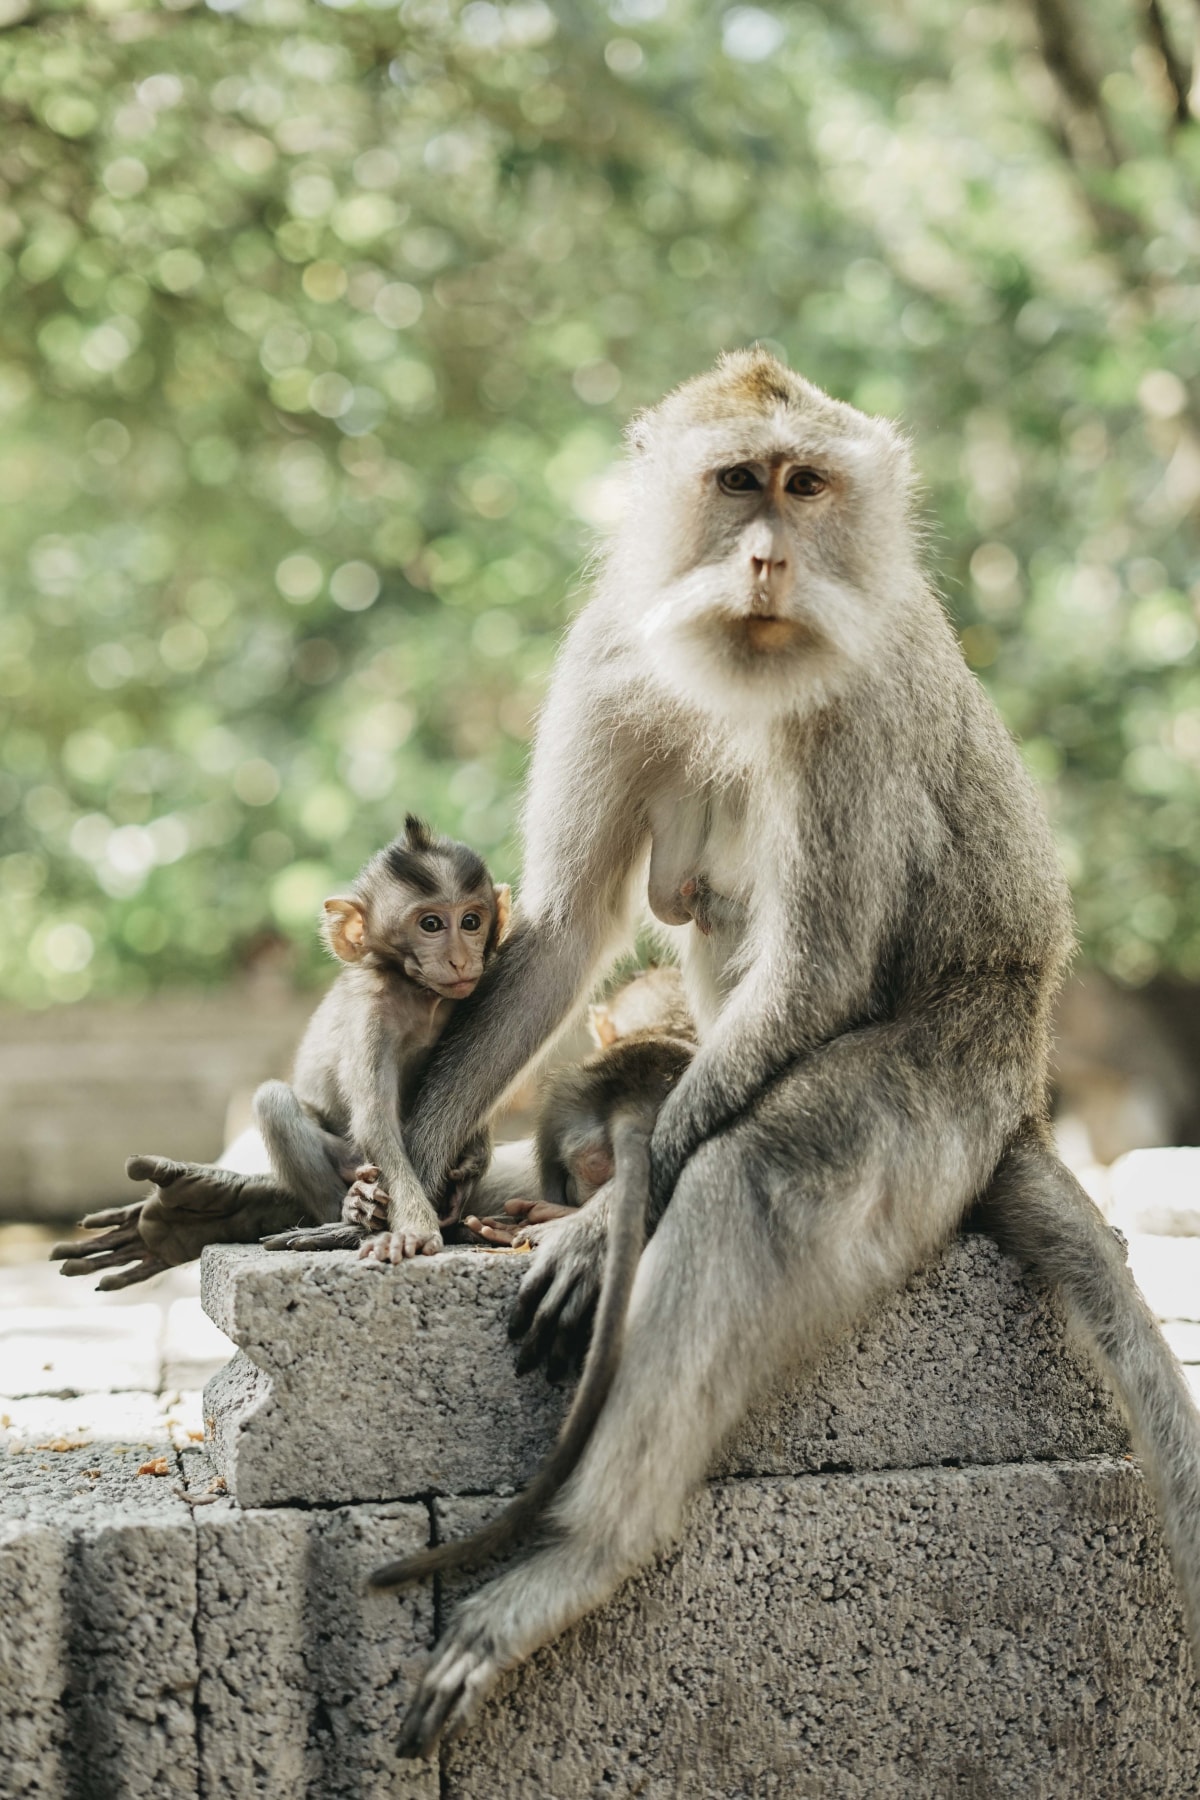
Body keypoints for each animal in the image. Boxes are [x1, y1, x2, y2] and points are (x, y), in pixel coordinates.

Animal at [51, 817, 510, 1286]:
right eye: (431, 924)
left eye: (470, 921)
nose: (460, 959)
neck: (419, 996)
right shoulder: (370, 1016)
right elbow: (374, 1121)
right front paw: (415, 1228)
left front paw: (472, 1163)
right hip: (349, 1159)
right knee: (275, 1101)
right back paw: (350, 1213)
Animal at [360, 351, 1200, 1760]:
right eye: (736, 481)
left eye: (806, 486)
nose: (767, 559)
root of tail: (1025, 1096)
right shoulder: (606, 653)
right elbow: (566, 927)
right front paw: (404, 1181)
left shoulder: (853, 707)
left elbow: (821, 968)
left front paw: (595, 1231)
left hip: (943, 1088)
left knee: (756, 1174)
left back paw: (585, 1553)